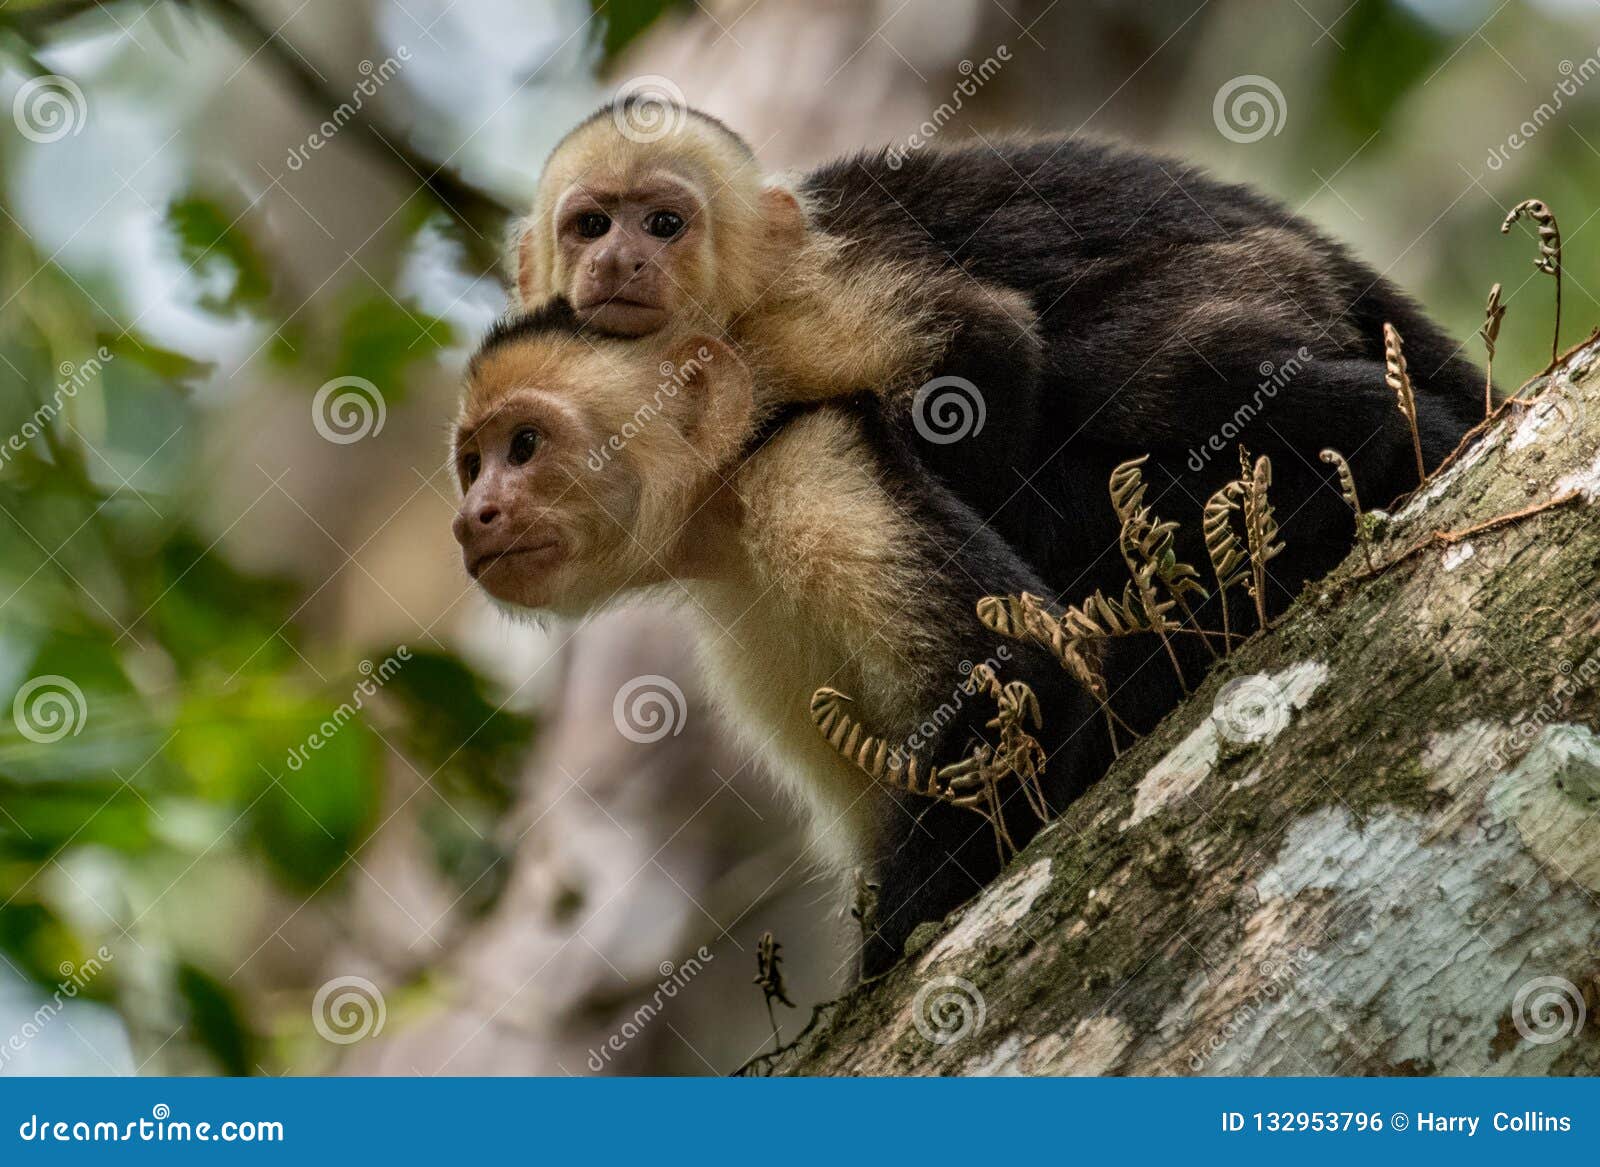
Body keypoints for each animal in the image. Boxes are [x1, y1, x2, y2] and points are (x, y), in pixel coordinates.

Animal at [451, 302, 1111, 977]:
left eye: (524, 445)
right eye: (473, 467)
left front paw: (880, 962)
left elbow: (1023, 674)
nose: (469, 518)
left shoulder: (809, 467)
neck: (725, 509)